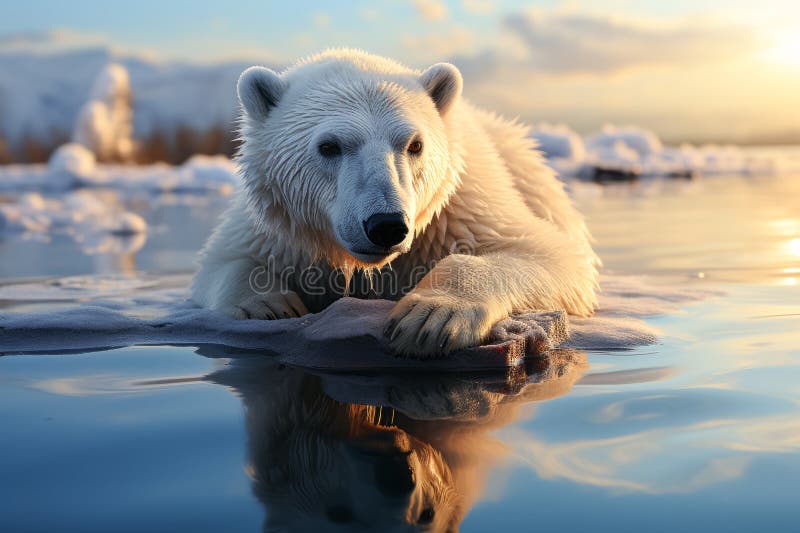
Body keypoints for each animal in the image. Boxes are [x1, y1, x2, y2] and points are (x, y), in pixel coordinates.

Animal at [191, 49, 599, 357]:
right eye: (329, 146)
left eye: (414, 144)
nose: (385, 224)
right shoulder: (279, 228)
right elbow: (225, 259)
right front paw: (271, 306)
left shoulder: (463, 209)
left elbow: (549, 254)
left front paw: (431, 317)